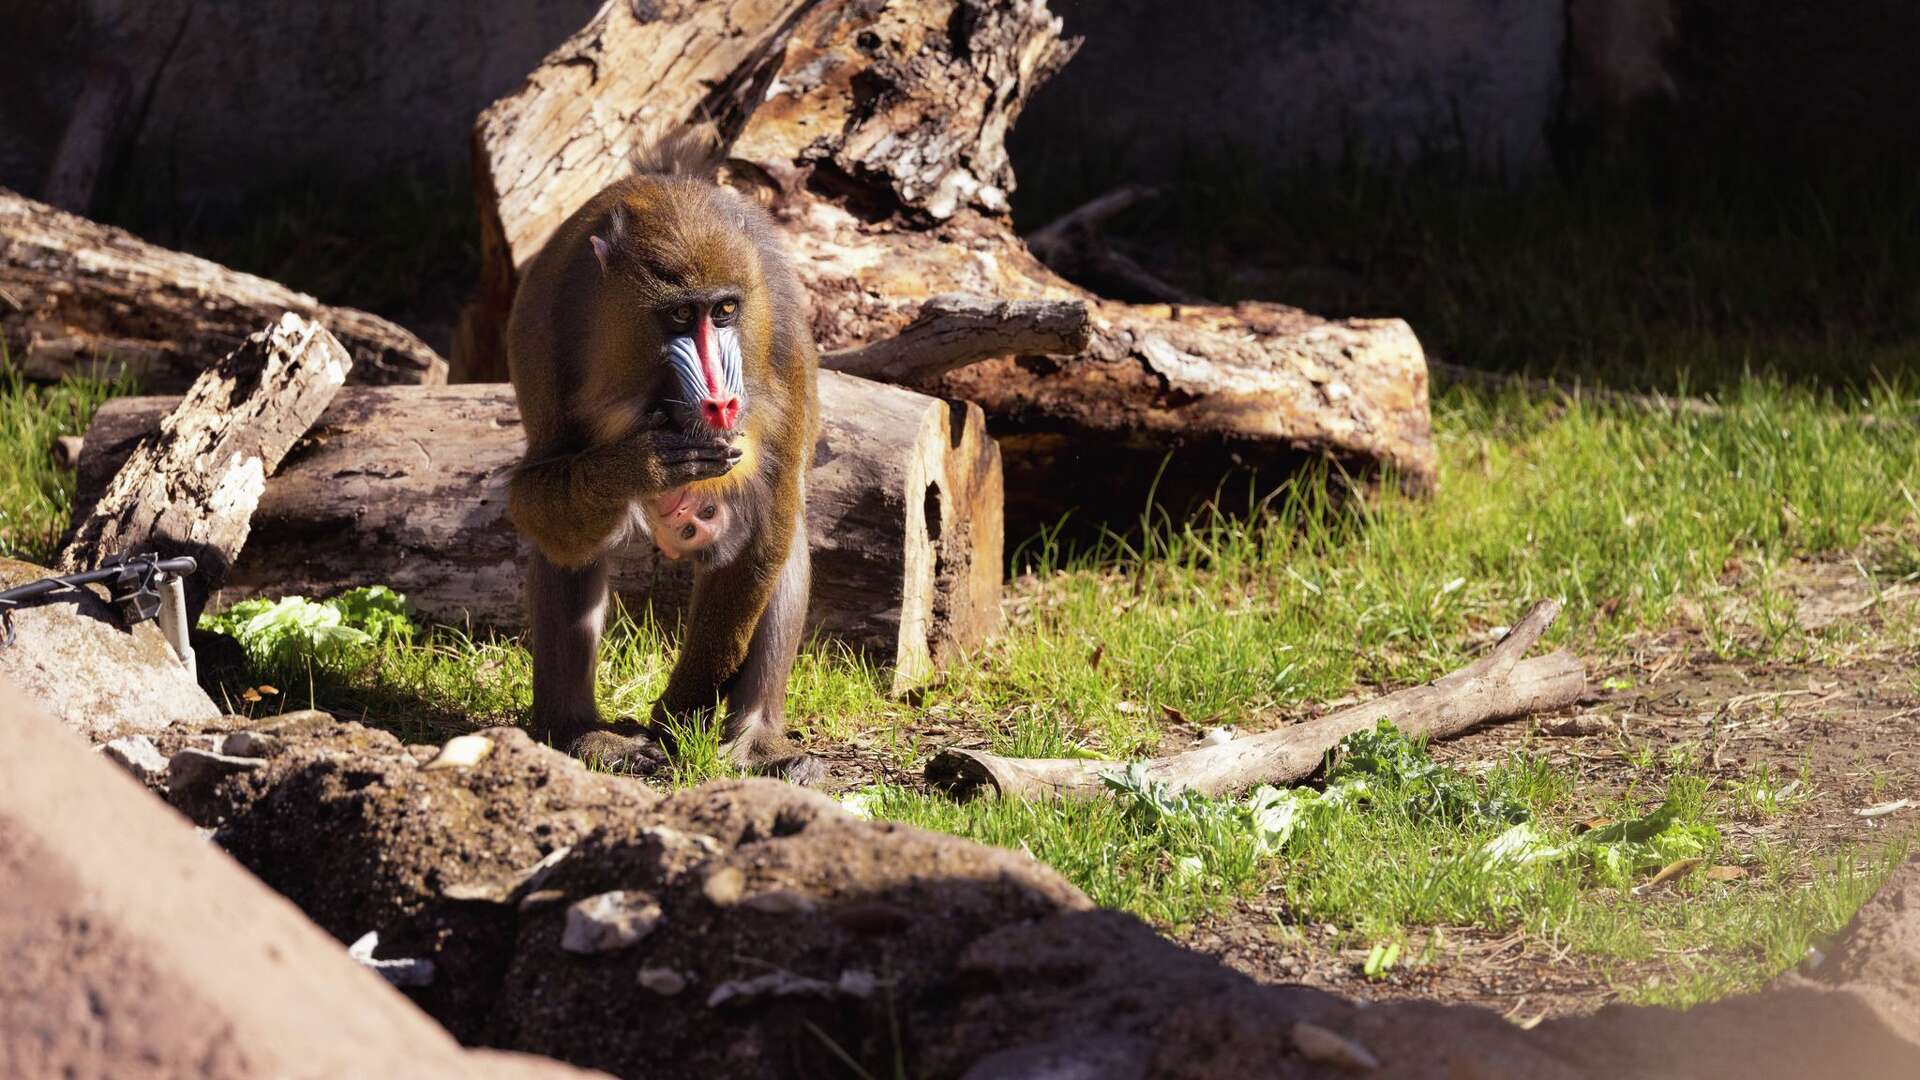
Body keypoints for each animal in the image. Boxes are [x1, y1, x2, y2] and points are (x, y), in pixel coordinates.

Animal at [504, 128, 822, 784]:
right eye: (678, 314)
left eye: (724, 311)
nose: (722, 403)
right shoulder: (546, 326)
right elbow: (536, 496)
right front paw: (637, 466)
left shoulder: (782, 341)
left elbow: (768, 527)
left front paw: (677, 712)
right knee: (570, 542)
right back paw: (577, 732)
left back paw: (758, 741)